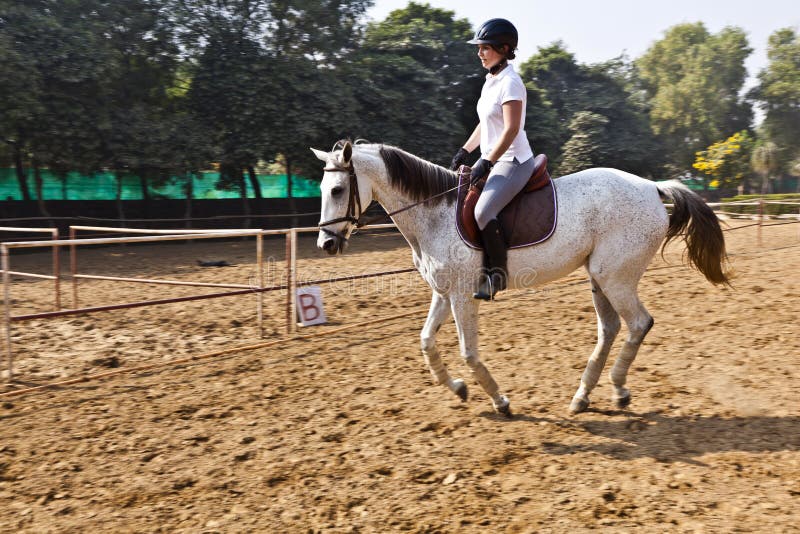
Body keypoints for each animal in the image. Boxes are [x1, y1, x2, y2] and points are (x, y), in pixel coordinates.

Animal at [310, 140, 730, 416]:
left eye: (338, 189)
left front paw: (500, 401)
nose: (326, 244)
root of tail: (652, 187)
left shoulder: (462, 296)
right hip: (600, 277)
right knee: (610, 328)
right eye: (322, 189)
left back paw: (616, 389)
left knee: (639, 323)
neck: (435, 212)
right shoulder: (444, 294)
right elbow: (427, 342)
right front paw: (458, 389)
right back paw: (584, 395)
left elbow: (468, 352)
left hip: (616, 278)